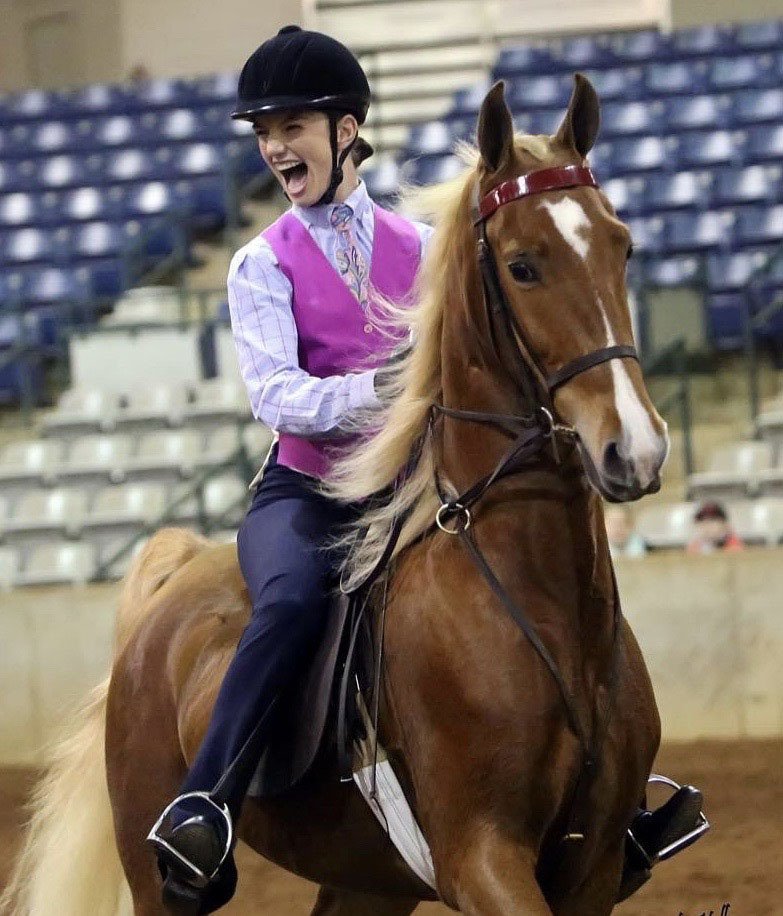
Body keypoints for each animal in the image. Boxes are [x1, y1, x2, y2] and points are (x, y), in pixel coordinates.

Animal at [2, 74, 669, 916]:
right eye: (523, 266)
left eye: (623, 246)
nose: (635, 448)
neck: (544, 609)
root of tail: (167, 595)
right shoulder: (481, 857)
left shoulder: (594, 864)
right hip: (156, 869)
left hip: (366, 880)